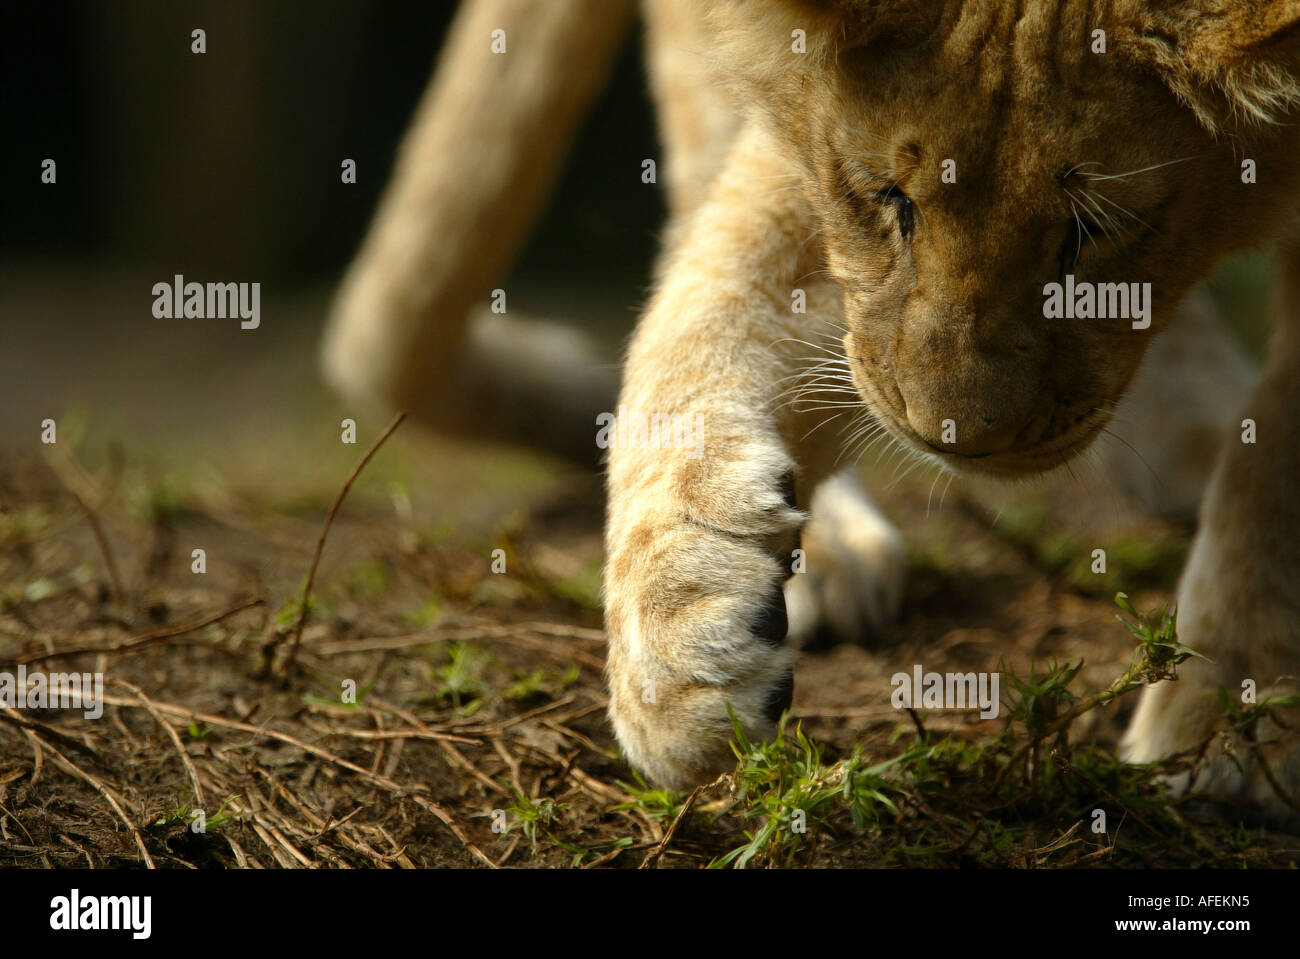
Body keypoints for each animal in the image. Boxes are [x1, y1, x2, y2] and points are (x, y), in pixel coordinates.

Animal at [323, 0, 1300, 822]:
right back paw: (820, 552)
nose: (952, 437)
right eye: (888, 196)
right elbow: (723, 290)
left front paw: (1233, 715)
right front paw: (677, 641)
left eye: (1097, 228)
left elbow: (1279, 445)